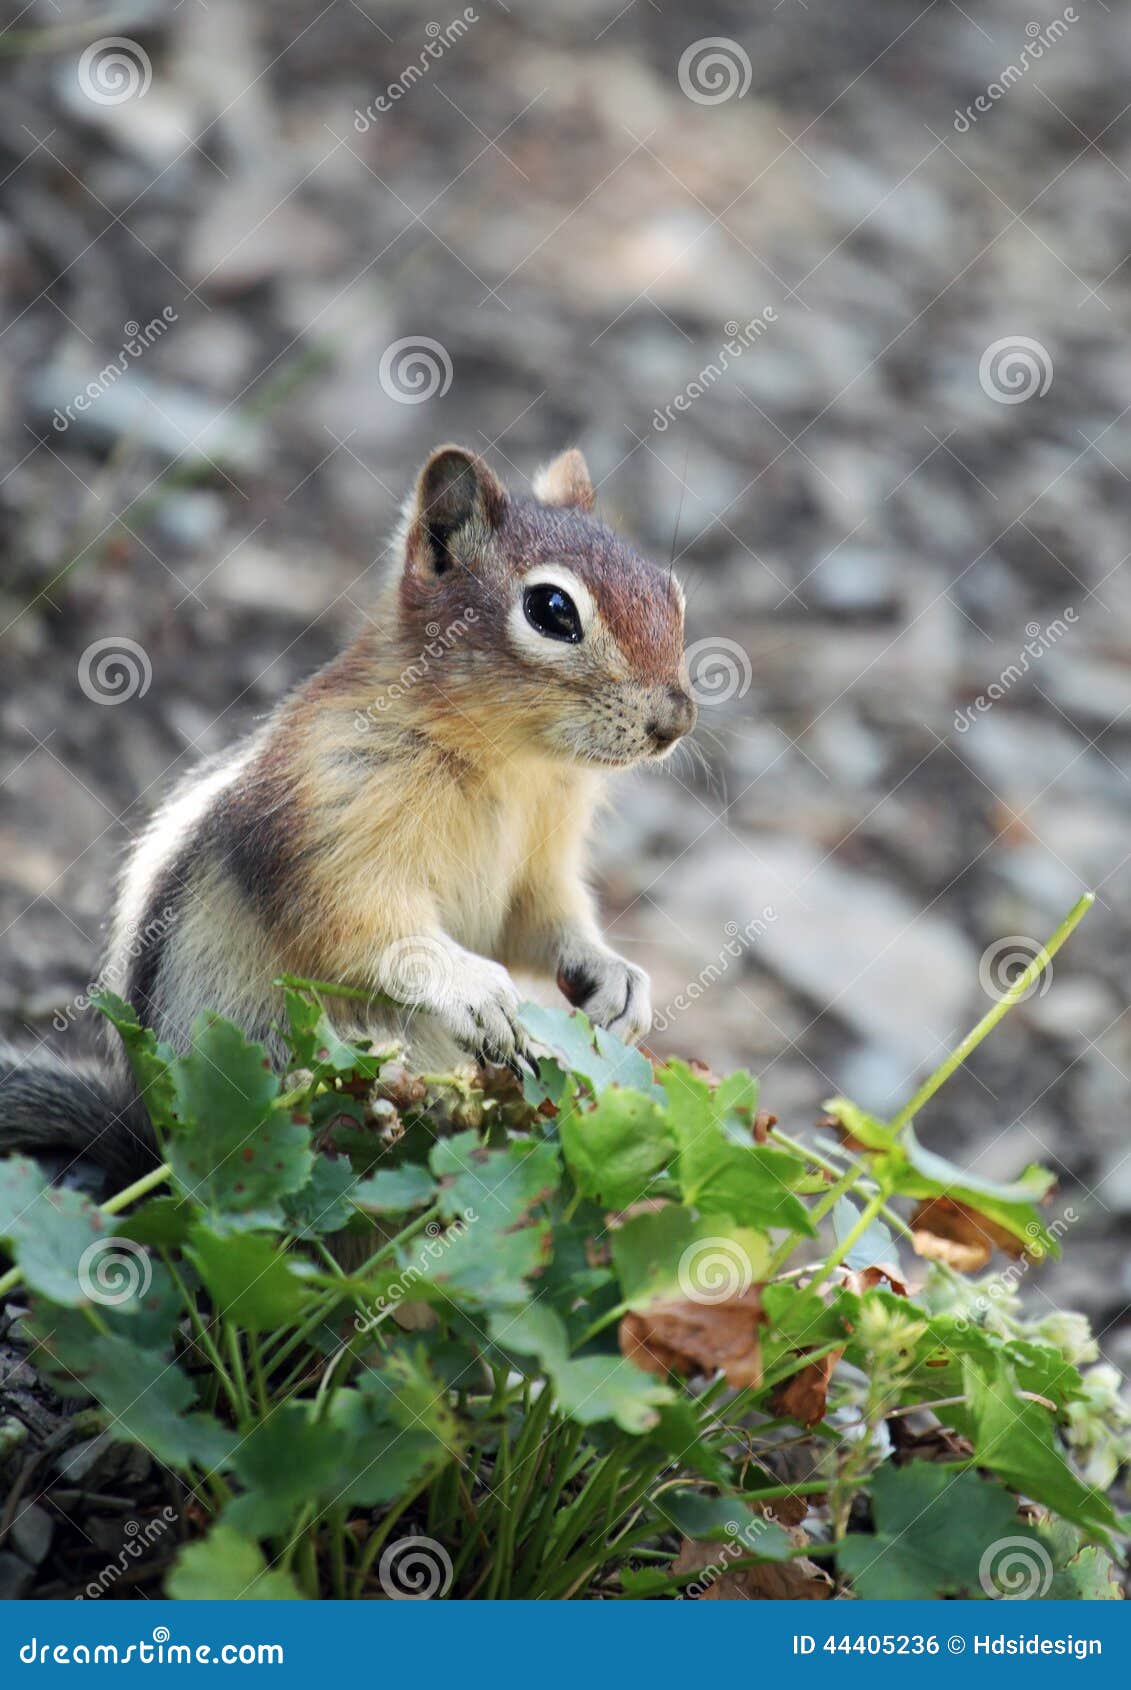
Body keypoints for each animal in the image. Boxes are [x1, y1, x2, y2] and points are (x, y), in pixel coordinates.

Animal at [0, 445, 696, 1181]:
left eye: (671, 592)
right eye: (552, 610)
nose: (675, 722)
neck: (511, 761)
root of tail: (153, 1148)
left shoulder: (544, 854)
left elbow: (540, 920)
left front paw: (614, 974)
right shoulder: (328, 808)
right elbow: (362, 923)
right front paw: (473, 987)